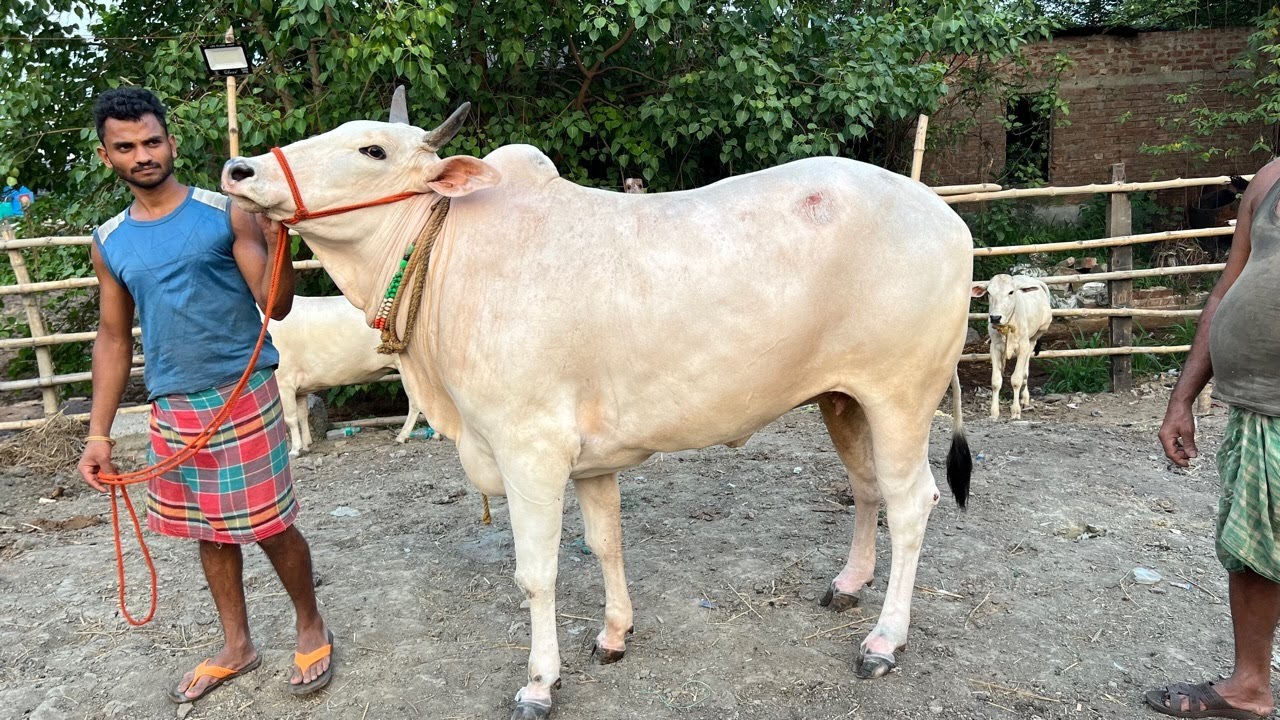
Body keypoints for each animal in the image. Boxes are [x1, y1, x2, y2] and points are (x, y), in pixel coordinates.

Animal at [267, 295, 426, 455]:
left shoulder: (284, 381)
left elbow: (290, 419)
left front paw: (295, 449)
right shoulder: (300, 389)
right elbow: (302, 415)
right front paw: (306, 445)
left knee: (415, 402)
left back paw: (402, 436)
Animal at [971, 274, 1053, 420]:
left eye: (1011, 292)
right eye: (989, 292)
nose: (995, 317)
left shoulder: (1023, 346)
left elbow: (1016, 380)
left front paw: (1015, 411)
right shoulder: (994, 348)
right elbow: (996, 381)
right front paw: (994, 412)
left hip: (1035, 336)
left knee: (1025, 371)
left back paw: (1025, 399)